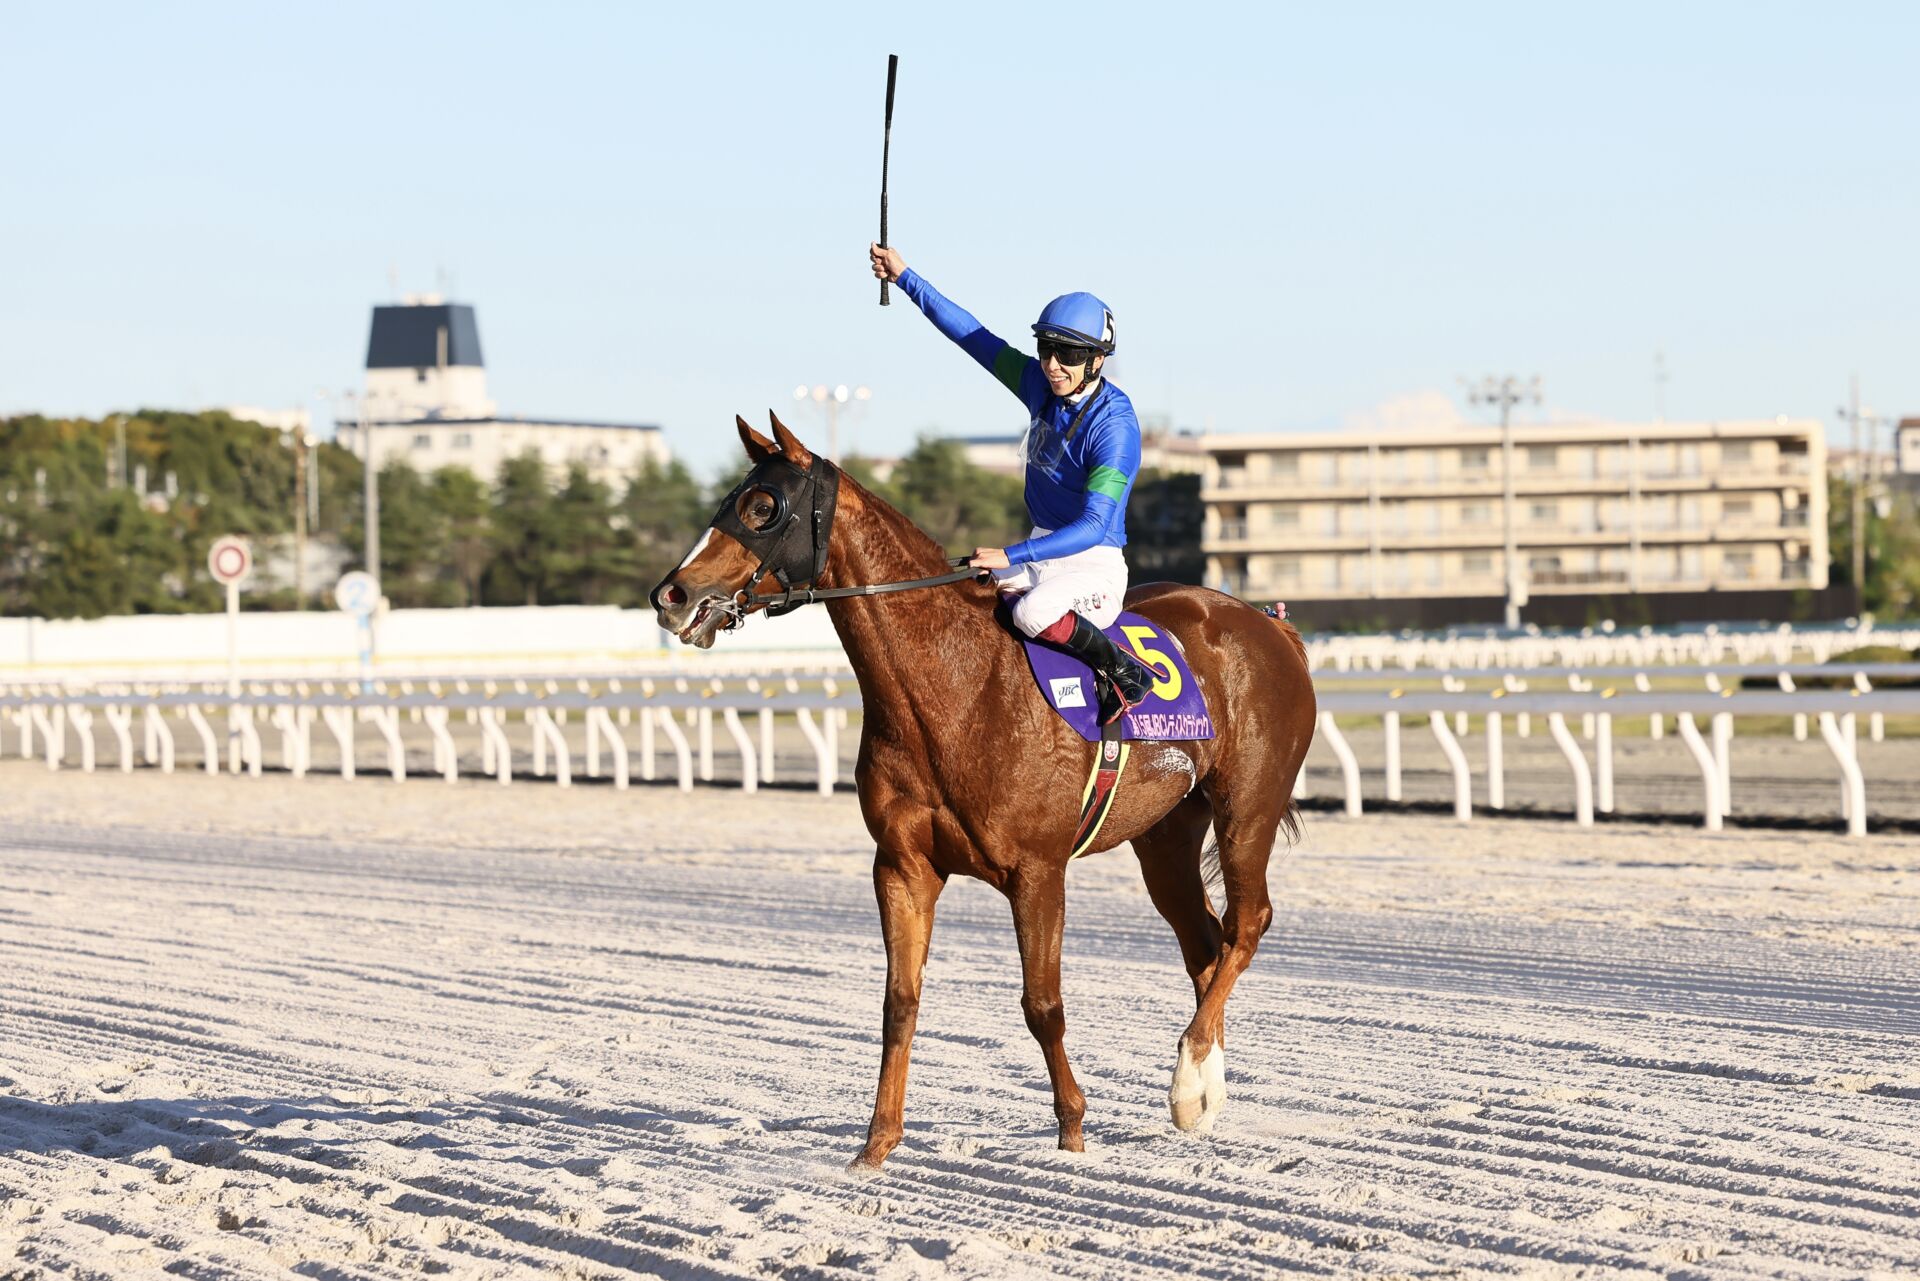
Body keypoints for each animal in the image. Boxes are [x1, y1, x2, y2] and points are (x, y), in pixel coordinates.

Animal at [651, 413, 1316, 1168]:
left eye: (763, 506)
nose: (671, 595)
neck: (957, 686)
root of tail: (1270, 623)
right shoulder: (903, 865)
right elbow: (900, 1002)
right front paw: (876, 1146)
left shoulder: (1038, 869)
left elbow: (1042, 1005)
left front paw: (1072, 1132)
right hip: (1165, 836)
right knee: (1204, 944)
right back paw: (1205, 1089)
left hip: (1247, 809)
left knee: (1246, 924)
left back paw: (1187, 1077)